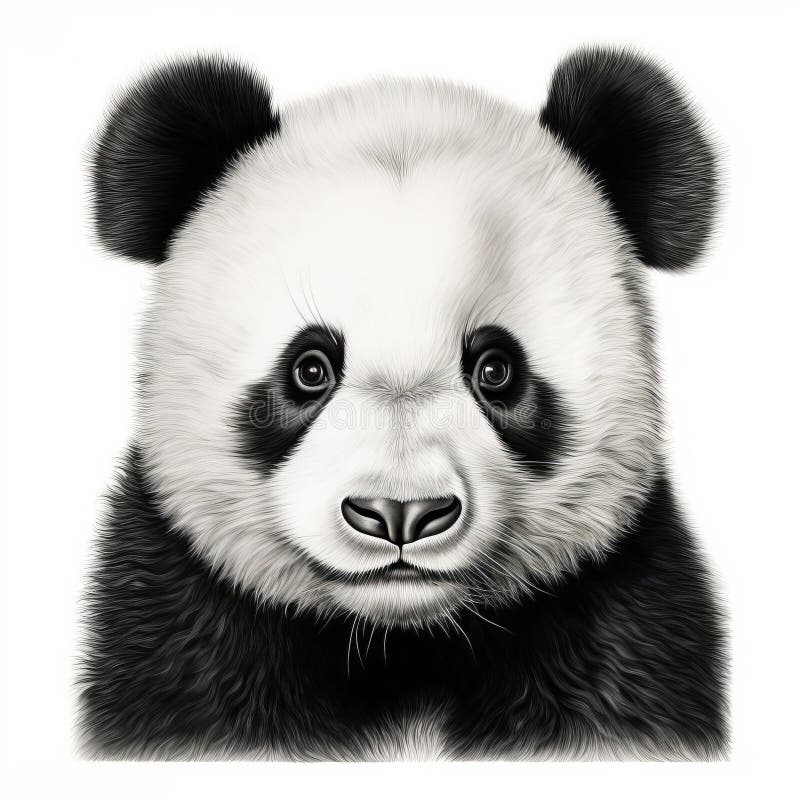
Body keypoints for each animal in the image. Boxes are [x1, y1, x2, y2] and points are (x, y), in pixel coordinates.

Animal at [80, 46, 728, 760]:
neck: (400, 646)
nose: (401, 513)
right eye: (310, 370)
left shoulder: (615, 628)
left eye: (496, 370)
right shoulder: (183, 632)